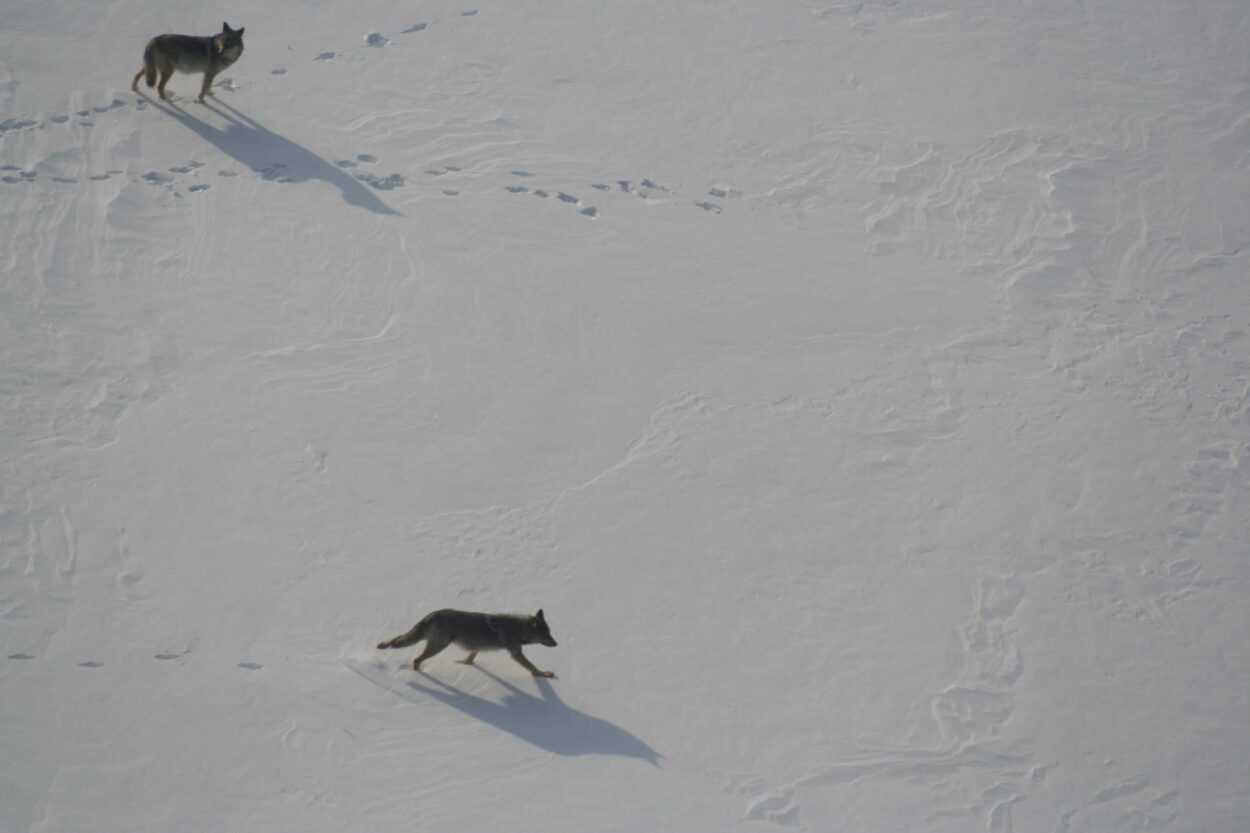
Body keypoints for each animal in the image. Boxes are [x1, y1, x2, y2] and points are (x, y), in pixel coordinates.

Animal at [378, 608, 558, 677]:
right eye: (547, 635)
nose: (556, 644)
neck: (519, 629)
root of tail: (434, 613)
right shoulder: (516, 653)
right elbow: (532, 667)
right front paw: (543, 674)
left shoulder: (476, 647)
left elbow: (471, 657)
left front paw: (465, 664)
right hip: (437, 646)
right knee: (416, 659)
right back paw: (419, 673)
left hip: (426, 640)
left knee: (397, 638)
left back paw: (383, 644)